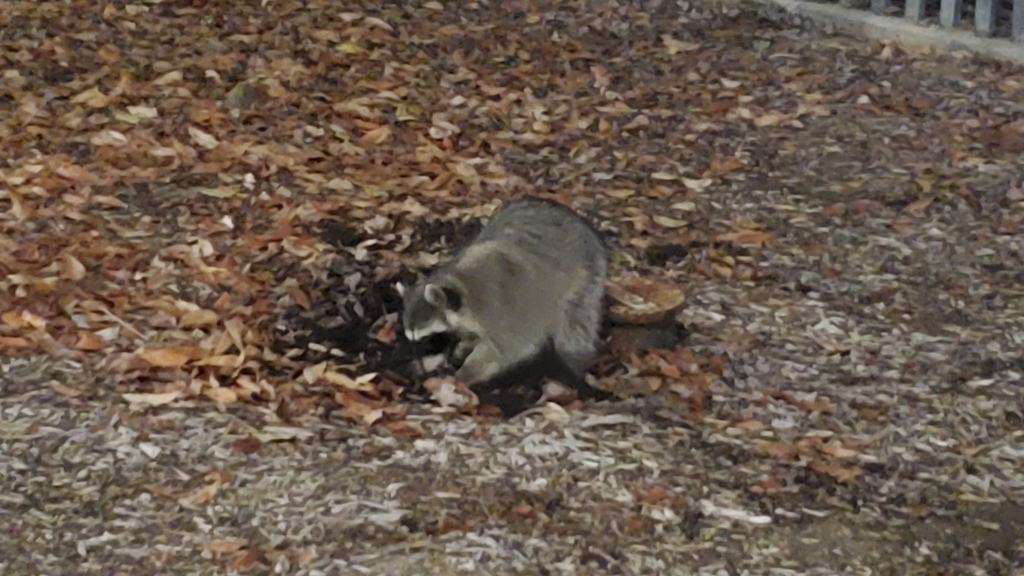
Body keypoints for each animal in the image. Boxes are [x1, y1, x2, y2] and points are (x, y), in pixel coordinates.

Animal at [403, 197, 608, 390]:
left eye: (430, 340)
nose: (415, 369)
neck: (459, 285)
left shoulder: (505, 313)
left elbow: (504, 351)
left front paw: (462, 375)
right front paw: (463, 345)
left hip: (587, 278)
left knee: (575, 329)